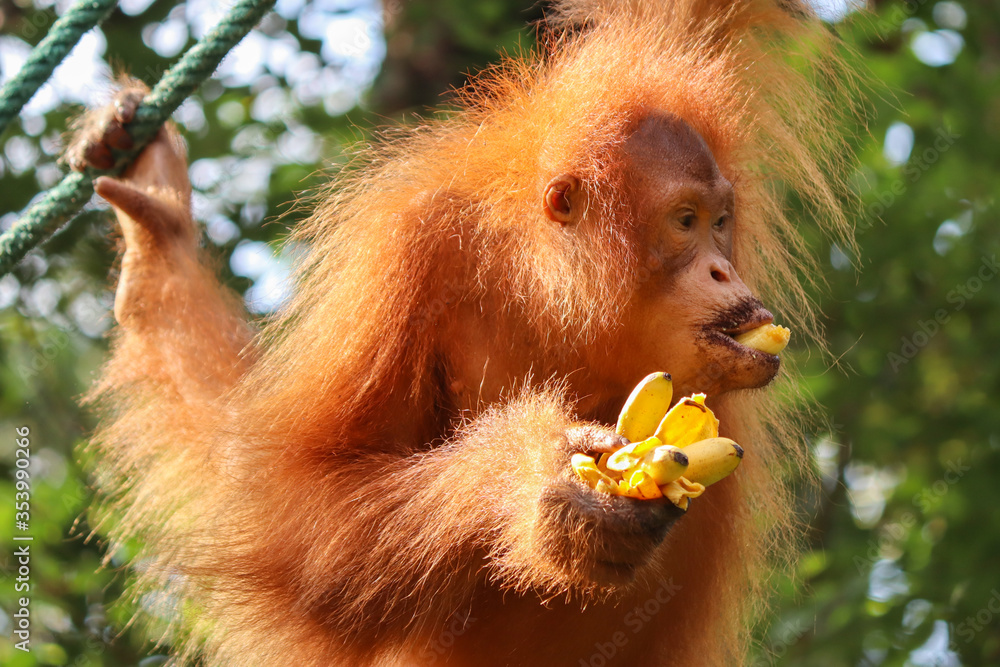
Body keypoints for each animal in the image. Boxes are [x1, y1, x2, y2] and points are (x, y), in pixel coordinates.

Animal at [72, 0, 858, 664]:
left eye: (722, 220)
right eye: (685, 220)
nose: (724, 270)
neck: (563, 305)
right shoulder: (406, 253)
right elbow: (297, 514)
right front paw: (537, 484)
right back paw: (156, 247)